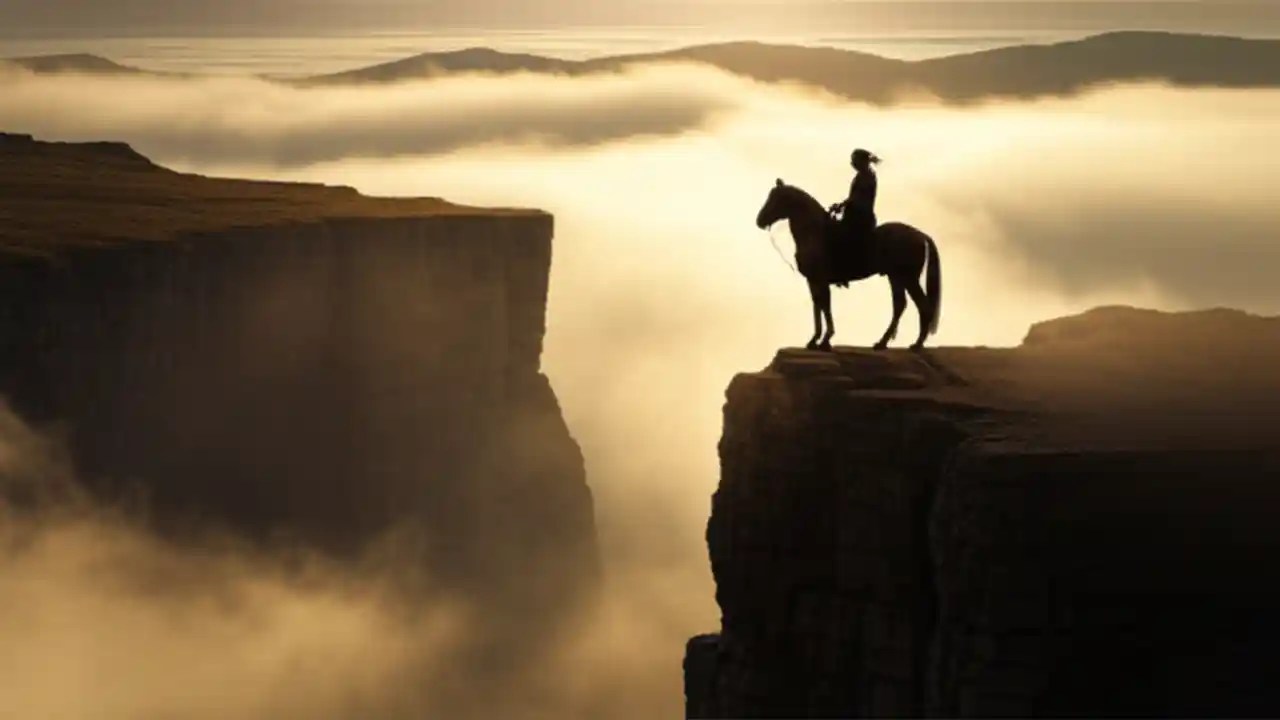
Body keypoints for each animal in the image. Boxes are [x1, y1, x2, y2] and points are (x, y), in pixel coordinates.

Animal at [755, 178, 942, 351]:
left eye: (777, 198)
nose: (759, 221)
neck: (814, 232)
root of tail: (921, 234)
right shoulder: (812, 281)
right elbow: (817, 307)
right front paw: (814, 340)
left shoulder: (821, 280)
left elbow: (825, 306)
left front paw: (826, 340)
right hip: (896, 277)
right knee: (900, 305)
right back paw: (883, 343)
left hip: (907, 278)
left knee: (921, 306)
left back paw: (917, 344)